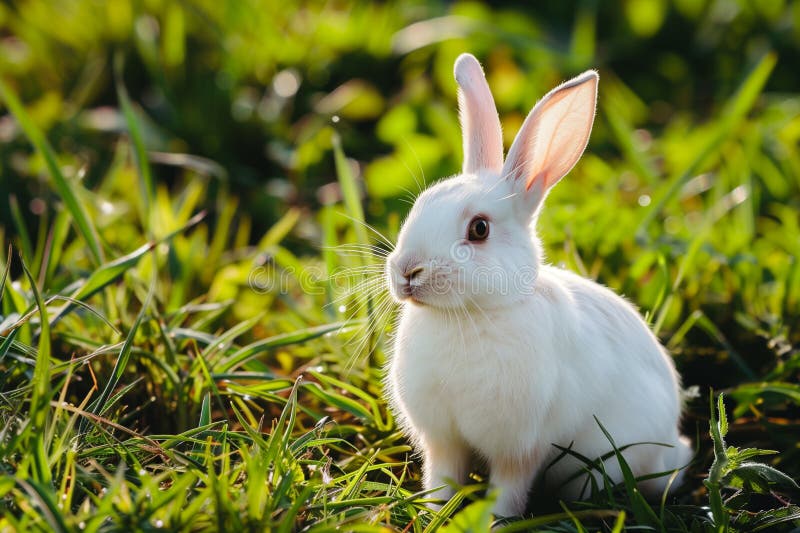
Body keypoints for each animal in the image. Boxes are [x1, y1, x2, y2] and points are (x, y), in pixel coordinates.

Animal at [384, 53, 693, 518]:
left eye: (479, 229)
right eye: (419, 207)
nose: (407, 271)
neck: (471, 315)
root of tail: (672, 447)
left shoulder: (519, 446)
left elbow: (509, 486)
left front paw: (494, 520)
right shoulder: (443, 440)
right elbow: (443, 477)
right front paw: (434, 513)